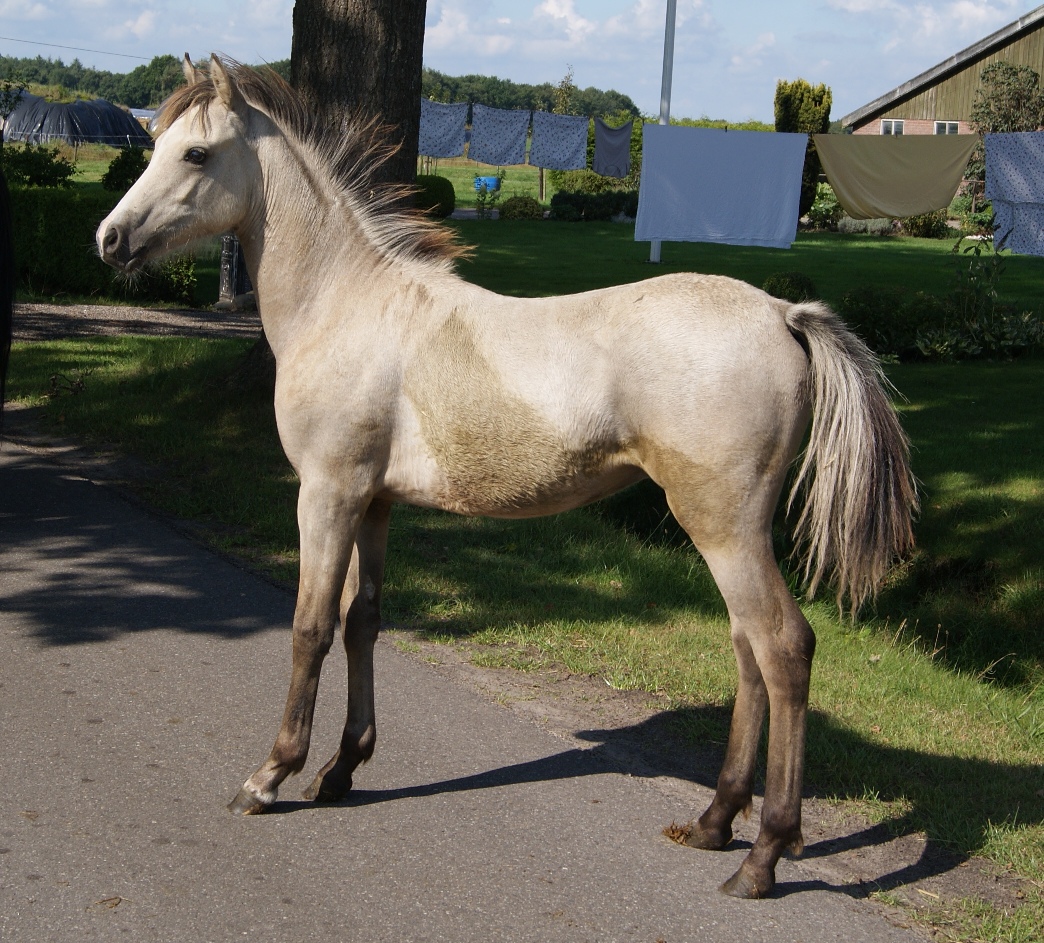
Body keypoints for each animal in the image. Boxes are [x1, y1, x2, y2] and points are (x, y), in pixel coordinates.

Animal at [96, 56, 917, 899]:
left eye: (196, 154)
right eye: (156, 143)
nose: (110, 239)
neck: (347, 303)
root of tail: (783, 313)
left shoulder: (326, 493)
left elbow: (309, 626)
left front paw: (271, 774)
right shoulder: (374, 502)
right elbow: (362, 620)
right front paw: (342, 767)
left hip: (723, 526)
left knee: (782, 647)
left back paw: (764, 855)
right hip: (725, 533)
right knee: (748, 651)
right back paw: (715, 822)